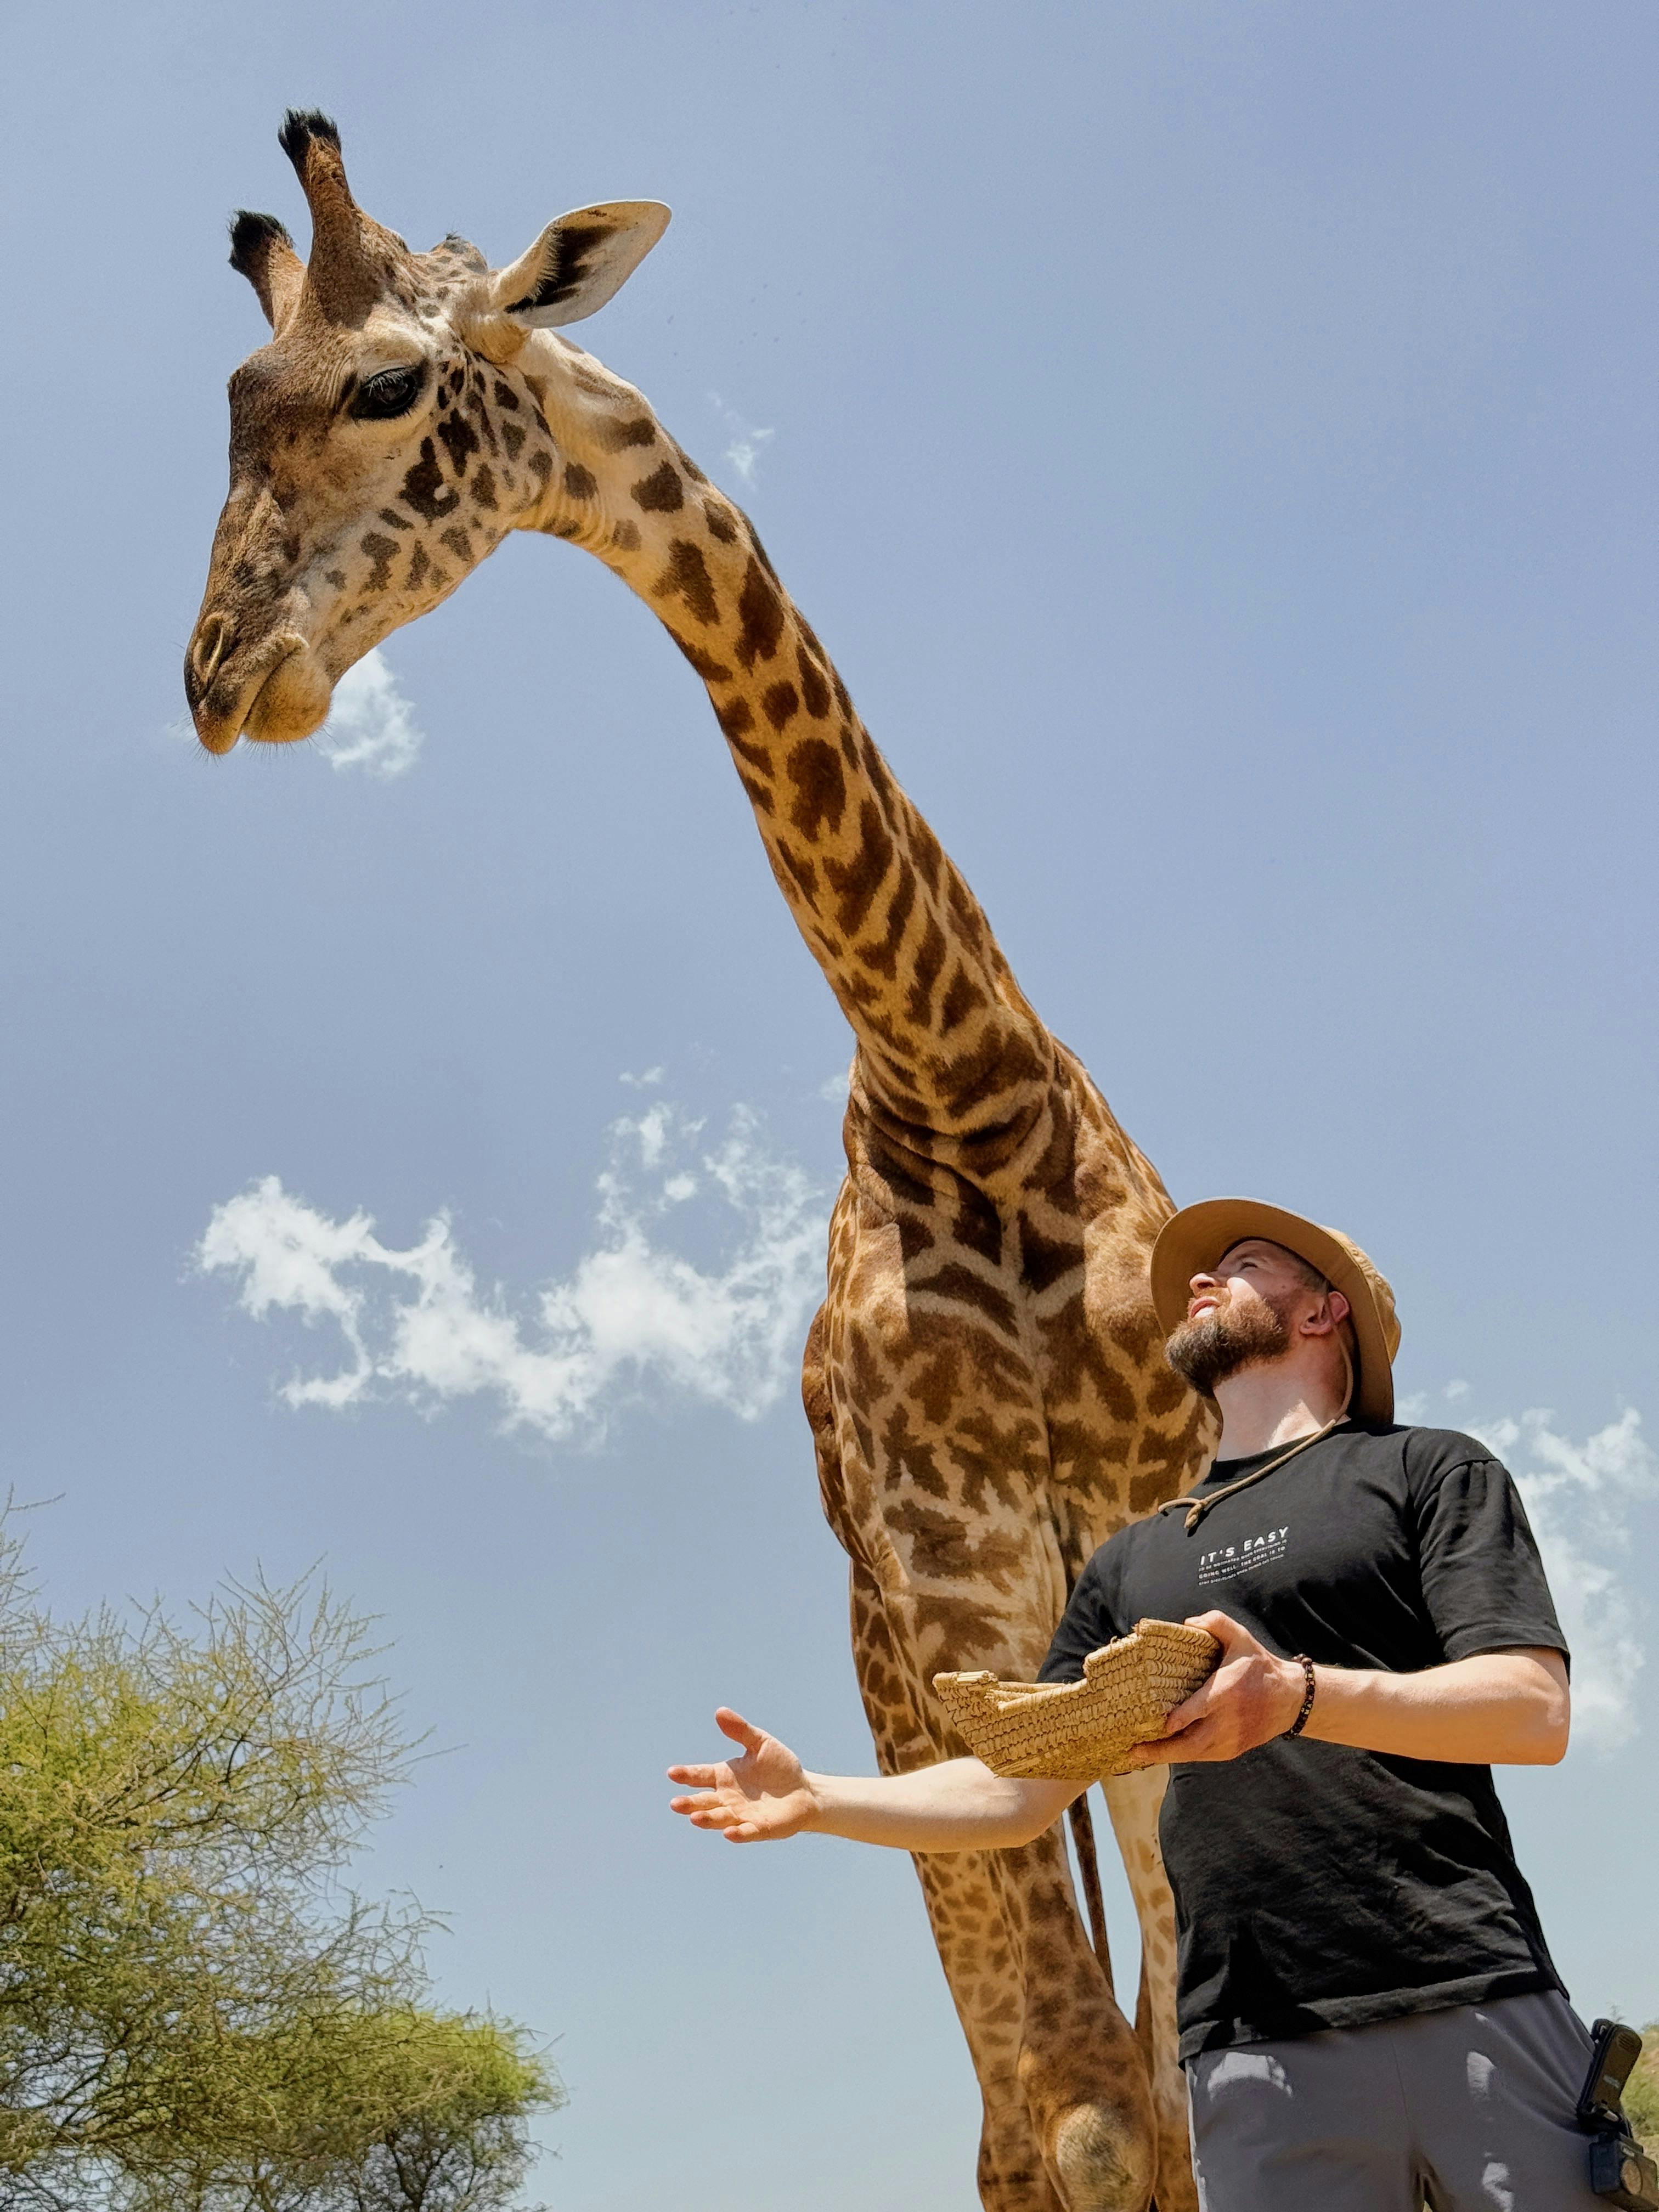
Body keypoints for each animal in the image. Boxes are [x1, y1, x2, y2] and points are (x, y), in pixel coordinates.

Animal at [183, 114, 1219, 2212]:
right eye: (231, 408)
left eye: (386, 386)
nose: (216, 674)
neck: (966, 1097)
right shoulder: (949, 1600)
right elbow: (1082, 2110)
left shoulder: (1144, 1578)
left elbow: (1163, 2095)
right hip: (904, 1687)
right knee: (1027, 2103)